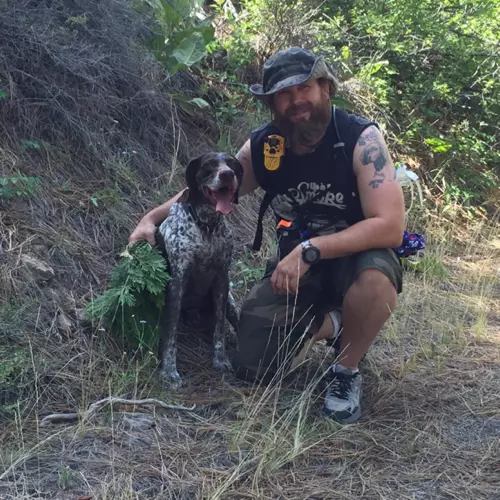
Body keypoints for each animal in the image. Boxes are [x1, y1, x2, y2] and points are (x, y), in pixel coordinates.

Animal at [155, 150, 243, 388]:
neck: (207, 226)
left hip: (231, 303)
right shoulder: (176, 283)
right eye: (209, 164)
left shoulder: (222, 279)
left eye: (231, 164)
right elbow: (170, 335)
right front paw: (169, 371)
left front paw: (220, 359)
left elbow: (220, 329)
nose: (227, 174)